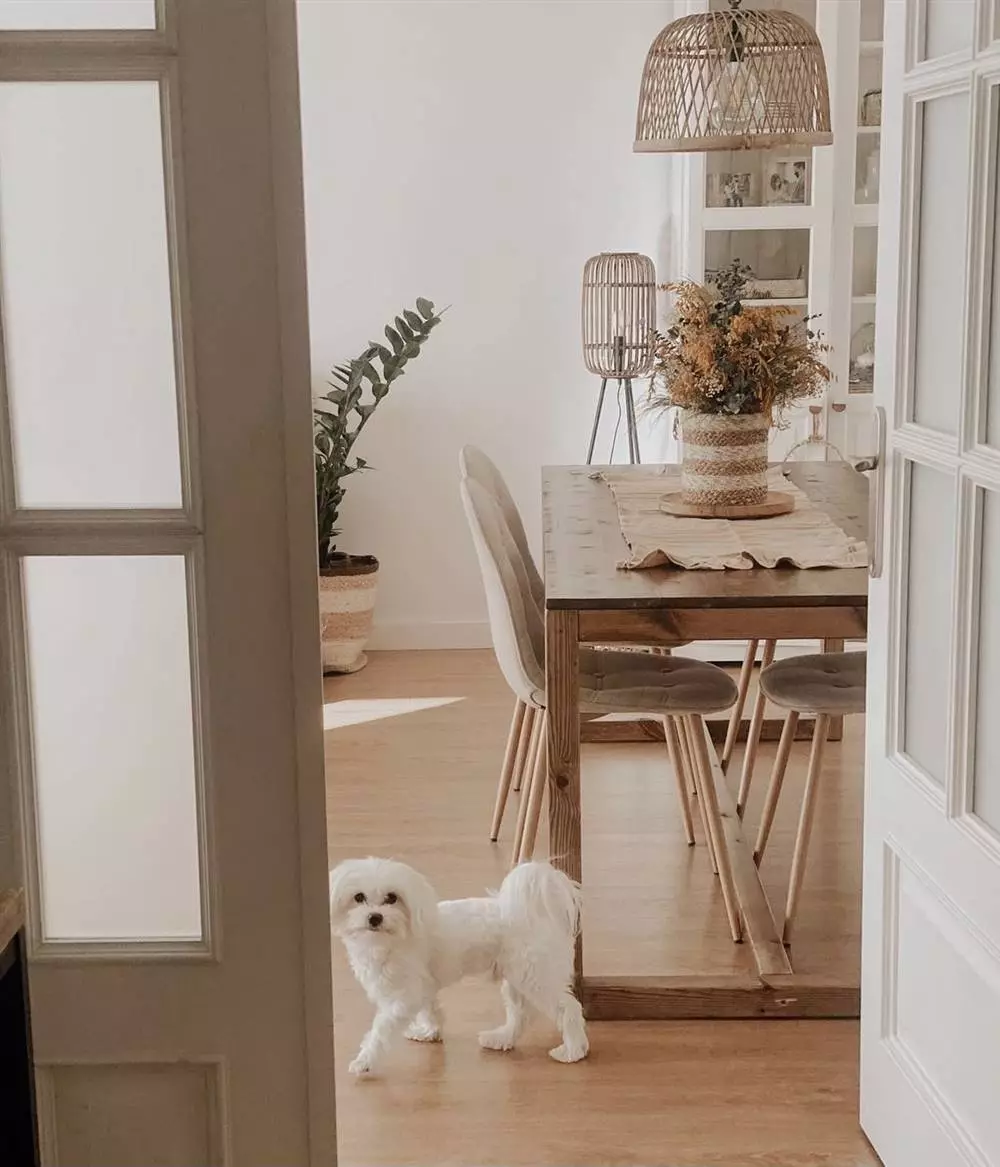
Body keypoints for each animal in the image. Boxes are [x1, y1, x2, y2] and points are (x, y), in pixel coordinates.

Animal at [326, 858, 592, 1073]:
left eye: (392, 897)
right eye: (358, 897)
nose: (375, 917)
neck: (390, 940)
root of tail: (536, 914)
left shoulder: (403, 998)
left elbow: (380, 1031)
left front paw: (364, 1061)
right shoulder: (423, 987)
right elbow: (430, 1010)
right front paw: (429, 1032)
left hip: (536, 977)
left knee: (568, 1009)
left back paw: (572, 1051)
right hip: (516, 978)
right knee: (521, 1014)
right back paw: (500, 1038)